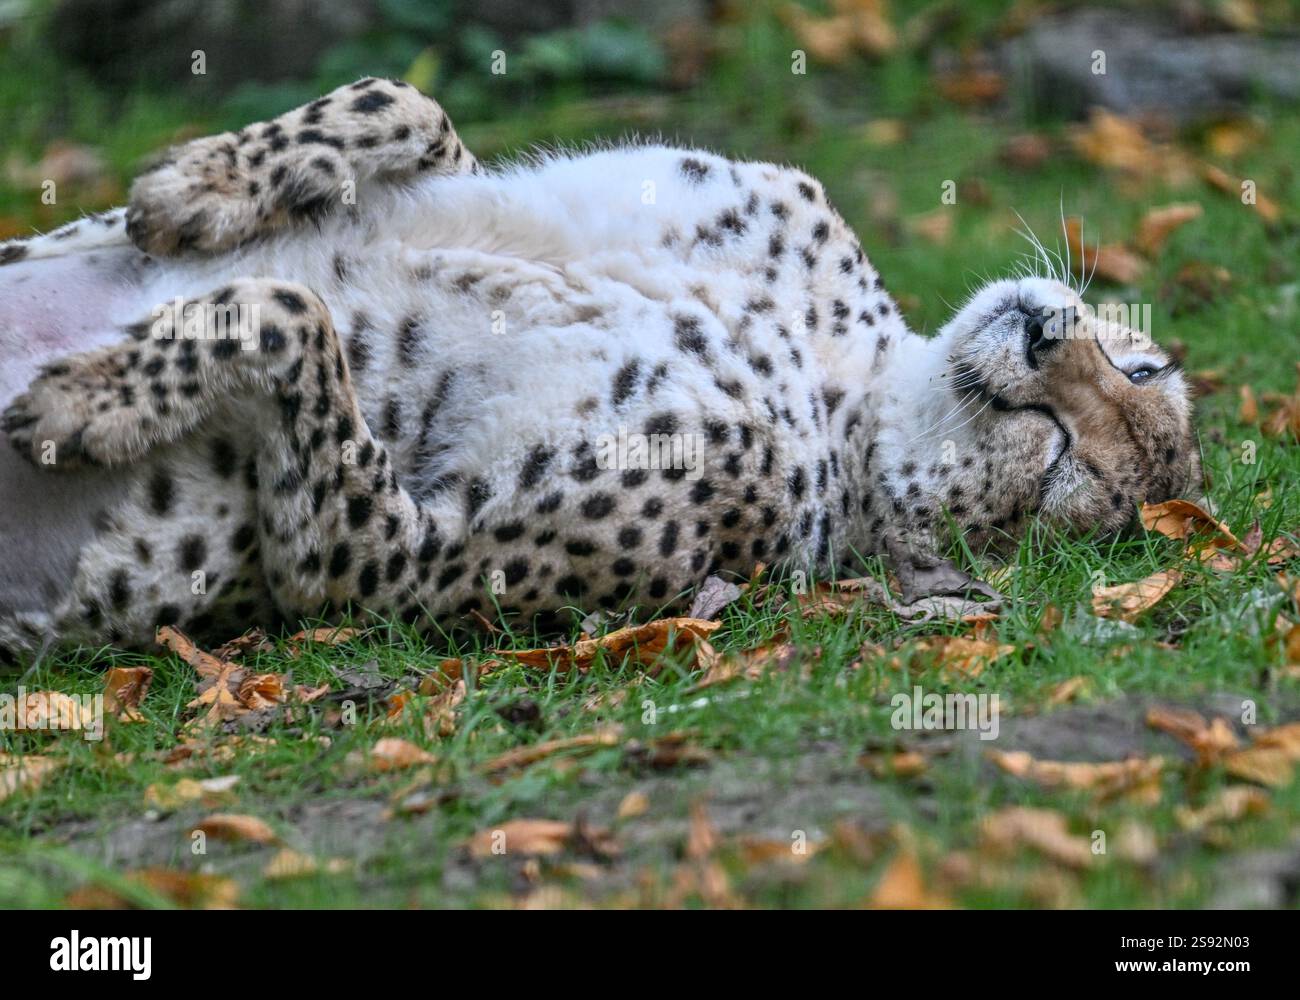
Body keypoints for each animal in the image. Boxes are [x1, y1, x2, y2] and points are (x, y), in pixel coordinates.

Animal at [0, 77, 1200, 661]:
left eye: (1061, 472)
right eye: (1140, 364)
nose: (1045, 331)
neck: (852, 378)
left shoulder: (380, 566)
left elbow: (289, 316)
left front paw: (85, 398)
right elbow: (404, 103)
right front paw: (196, 186)